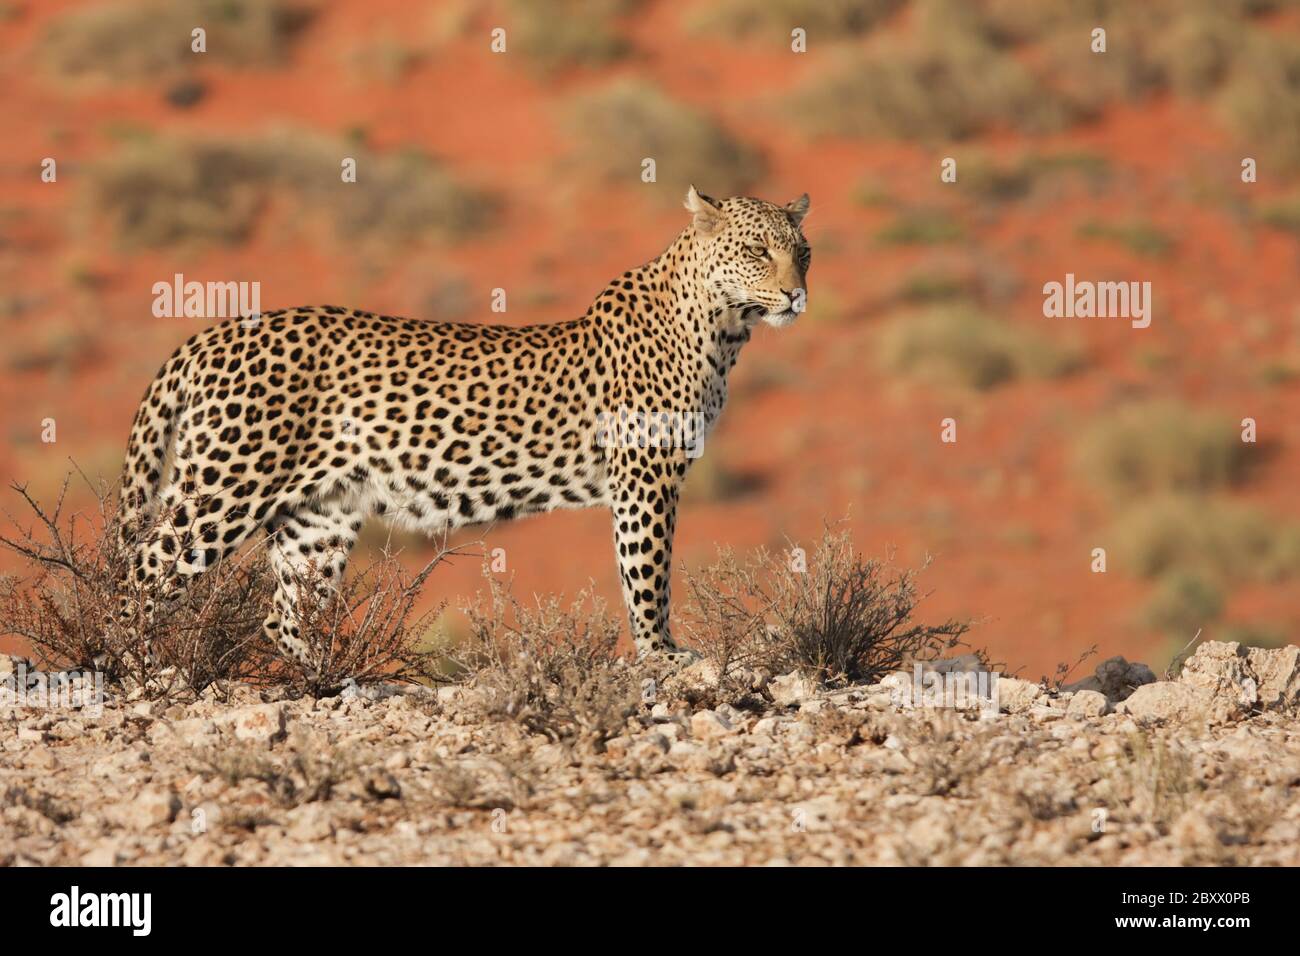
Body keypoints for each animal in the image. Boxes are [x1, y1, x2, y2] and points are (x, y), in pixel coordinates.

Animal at [116, 186, 811, 675]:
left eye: (802, 252)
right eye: (757, 251)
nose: (796, 295)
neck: (723, 326)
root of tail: (213, 333)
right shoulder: (645, 476)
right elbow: (648, 571)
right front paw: (662, 654)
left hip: (320, 511)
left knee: (282, 613)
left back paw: (343, 678)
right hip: (228, 483)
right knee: (143, 568)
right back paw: (138, 673)